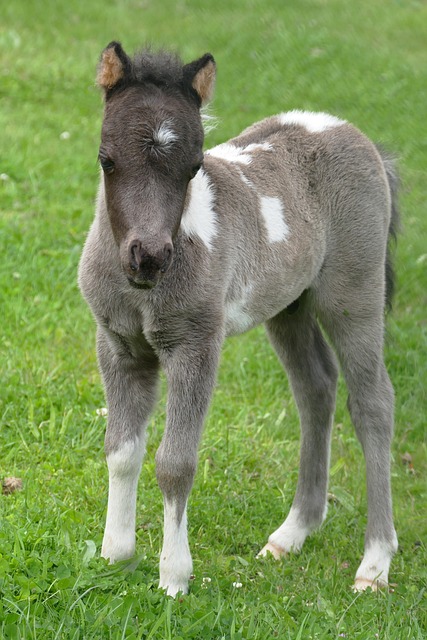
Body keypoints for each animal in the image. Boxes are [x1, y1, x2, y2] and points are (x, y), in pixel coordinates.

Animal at [78, 41, 399, 597]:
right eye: (107, 160)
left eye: (193, 167)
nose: (149, 258)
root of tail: (354, 136)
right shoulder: (119, 346)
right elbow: (121, 449)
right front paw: (115, 555)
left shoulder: (195, 346)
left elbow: (175, 463)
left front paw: (173, 577)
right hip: (289, 307)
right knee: (316, 387)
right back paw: (292, 534)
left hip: (353, 295)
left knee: (373, 401)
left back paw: (375, 563)